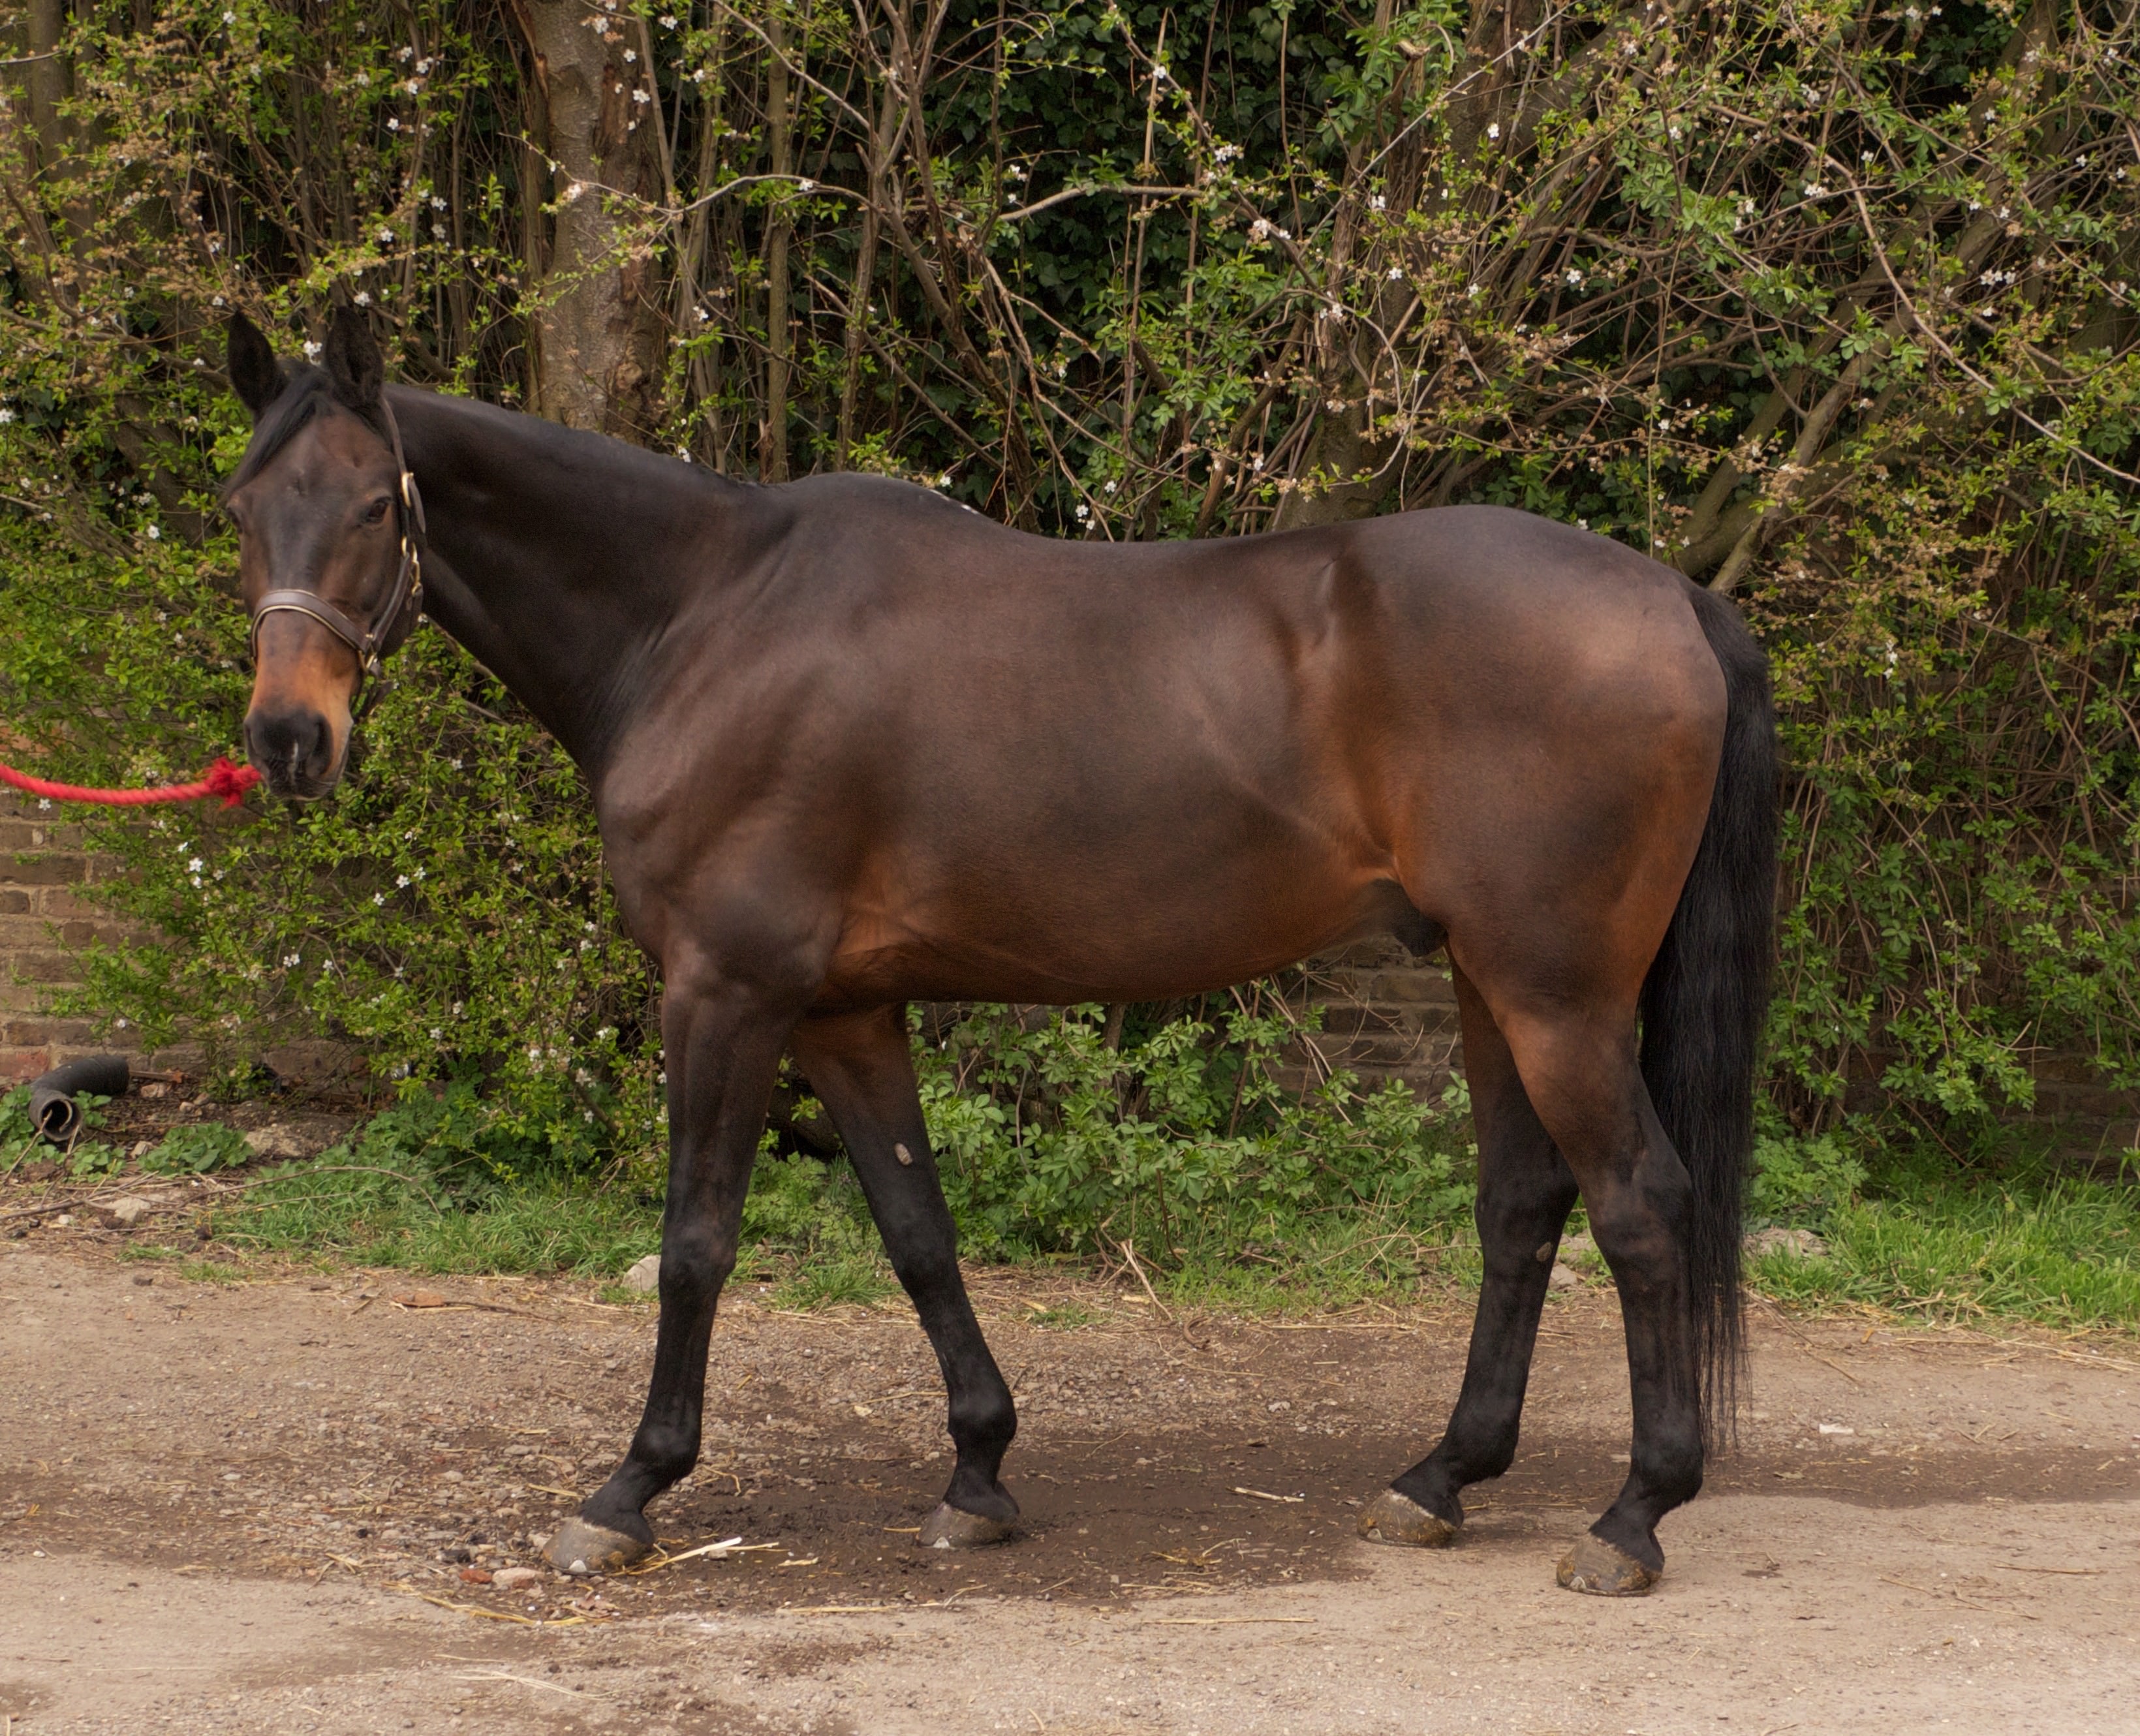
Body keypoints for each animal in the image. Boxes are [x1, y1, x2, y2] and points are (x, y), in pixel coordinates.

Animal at [220, 304, 1775, 1597]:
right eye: (243, 508)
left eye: (373, 504)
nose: (289, 740)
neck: (705, 618)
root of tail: (1670, 599)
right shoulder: (842, 1012)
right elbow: (917, 1232)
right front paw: (976, 1471)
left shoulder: (725, 993)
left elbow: (694, 1244)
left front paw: (627, 1494)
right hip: (1485, 982)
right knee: (1521, 1206)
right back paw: (1439, 1479)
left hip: (1554, 993)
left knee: (1639, 1205)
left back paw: (1631, 1517)